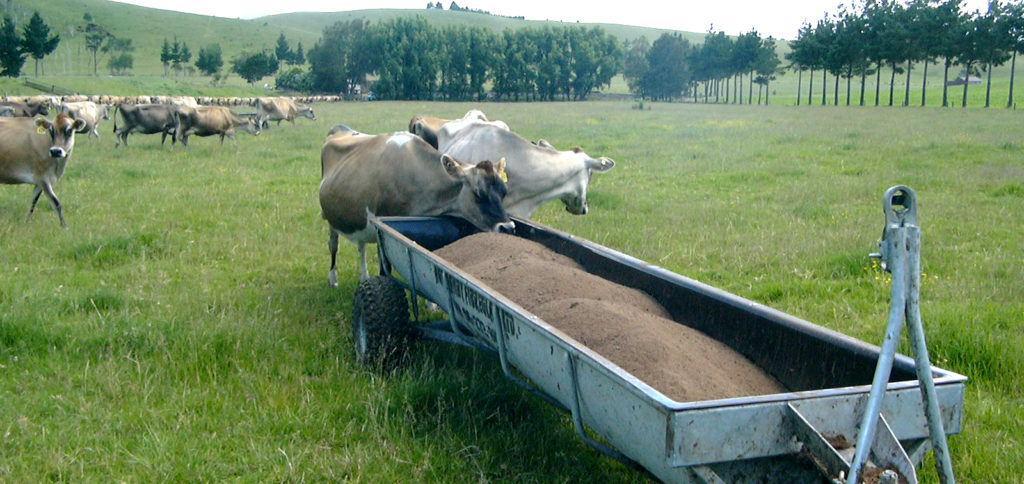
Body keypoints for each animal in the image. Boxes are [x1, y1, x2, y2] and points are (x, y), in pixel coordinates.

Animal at [319, 126, 513, 285]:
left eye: (504, 192)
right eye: (478, 193)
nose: (508, 227)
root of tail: (340, 129)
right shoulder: (382, 230)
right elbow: (384, 271)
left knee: (361, 246)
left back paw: (363, 277)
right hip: (329, 217)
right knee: (333, 244)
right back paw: (332, 278)